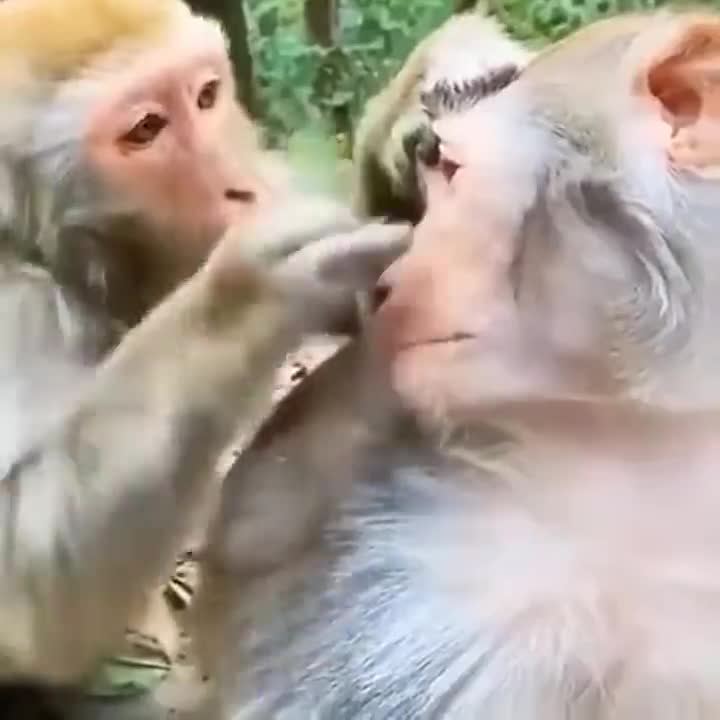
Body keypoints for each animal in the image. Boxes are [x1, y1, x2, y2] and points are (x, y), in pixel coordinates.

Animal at [0, 0, 410, 711]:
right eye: (146, 129)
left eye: (208, 96)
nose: (242, 189)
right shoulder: (14, 305)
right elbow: (23, 592)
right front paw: (247, 292)